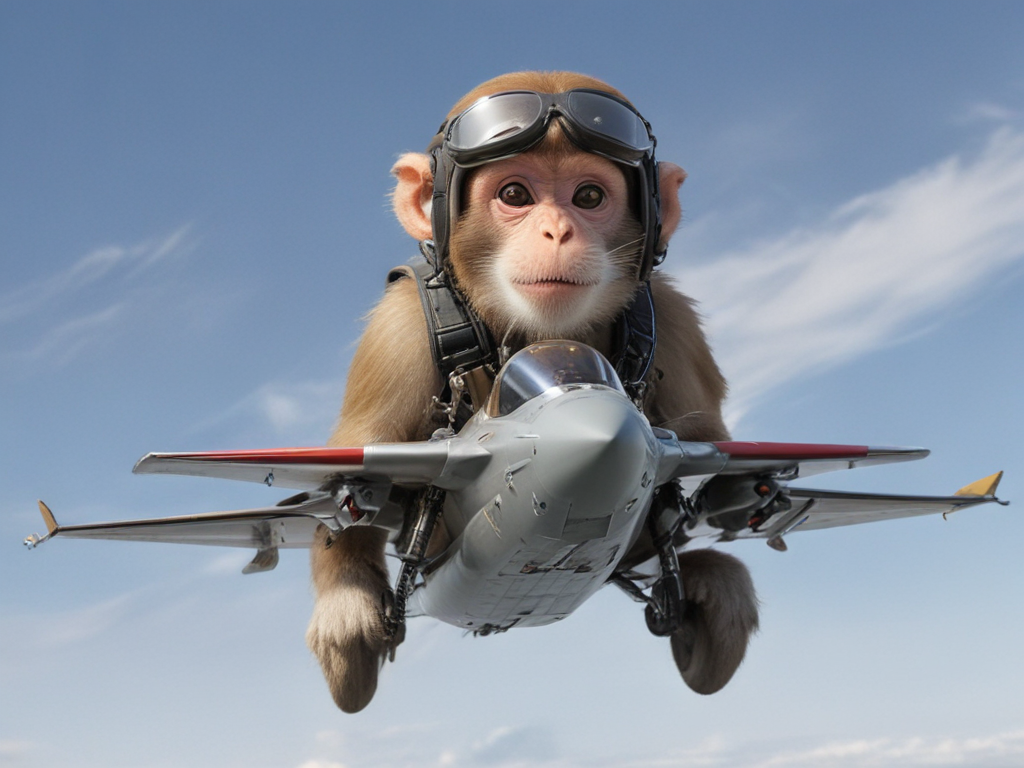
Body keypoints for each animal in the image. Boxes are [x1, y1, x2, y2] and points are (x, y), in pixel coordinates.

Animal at [306, 71, 759, 713]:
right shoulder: (395, 336)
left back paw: (715, 592)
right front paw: (348, 623)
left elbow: (708, 453)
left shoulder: (674, 321)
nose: (558, 230)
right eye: (515, 194)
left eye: (589, 197)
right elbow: (350, 479)